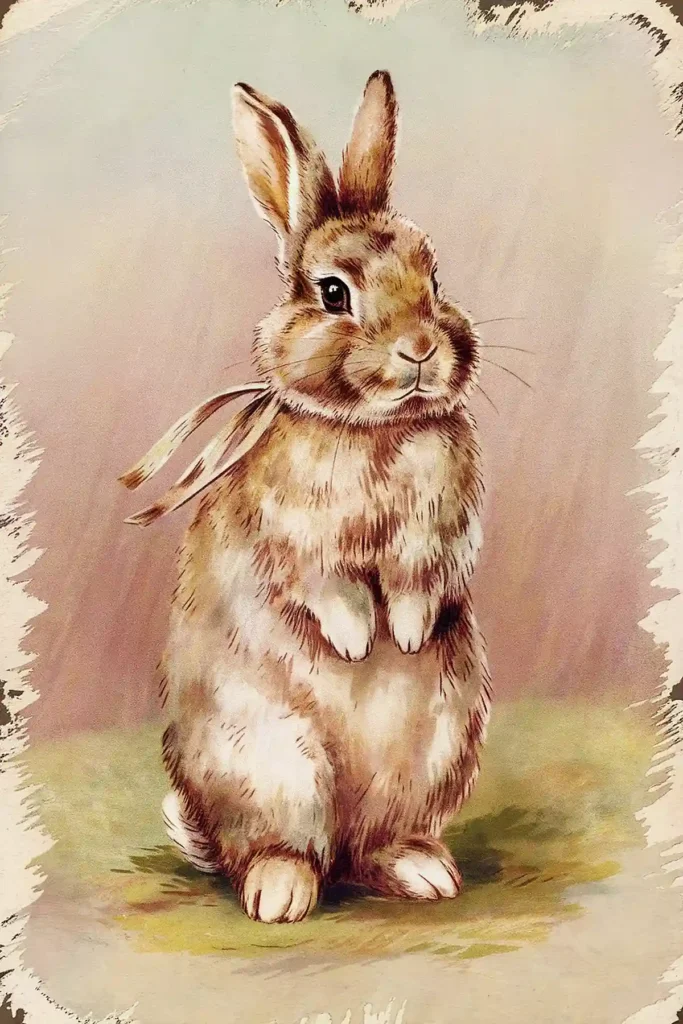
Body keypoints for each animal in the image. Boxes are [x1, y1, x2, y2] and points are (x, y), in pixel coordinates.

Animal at [157, 70, 491, 923]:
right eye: (333, 293)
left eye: (434, 280)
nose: (420, 349)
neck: (370, 428)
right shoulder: (294, 541)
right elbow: (329, 587)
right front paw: (354, 645)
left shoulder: (436, 536)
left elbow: (414, 583)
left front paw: (403, 635)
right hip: (273, 762)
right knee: (279, 847)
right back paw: (281, 893)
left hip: (432, 754)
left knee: (371, 846)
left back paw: (422, 872)